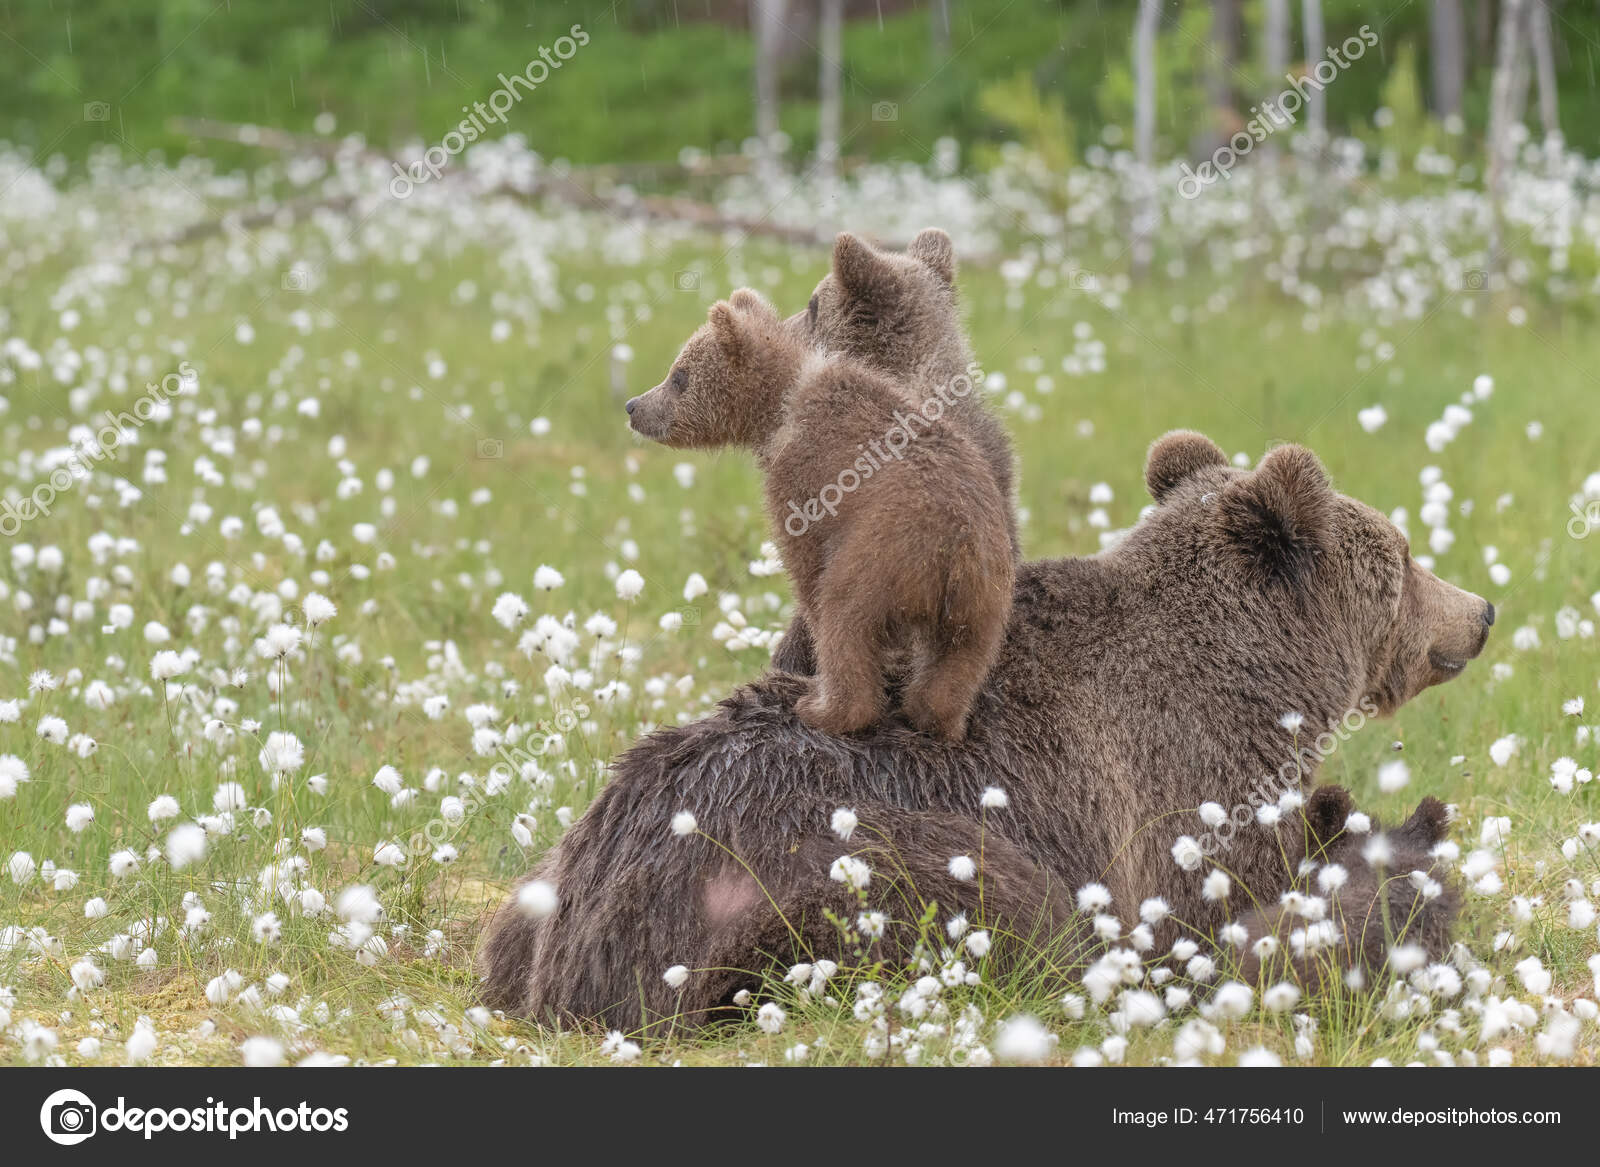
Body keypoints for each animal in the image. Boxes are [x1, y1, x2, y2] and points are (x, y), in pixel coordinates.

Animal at [479, 431, 1494, 1032]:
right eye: (1406, 554)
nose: (1481, 611)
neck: (1264, 678)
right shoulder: (1176, 787)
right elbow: (1217, 915)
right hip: (836, 867)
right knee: (1019, 919)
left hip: (542, 888)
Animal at [624, 288, 1014, 741]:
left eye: (679, 375)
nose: (633, 406)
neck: (778, 408)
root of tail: (954, 553)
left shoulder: (804, 475)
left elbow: (802, 556)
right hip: (985, 597)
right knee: (957, 663)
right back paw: (934, 716)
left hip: (877, 558)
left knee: (843, 623)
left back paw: (824, 708)